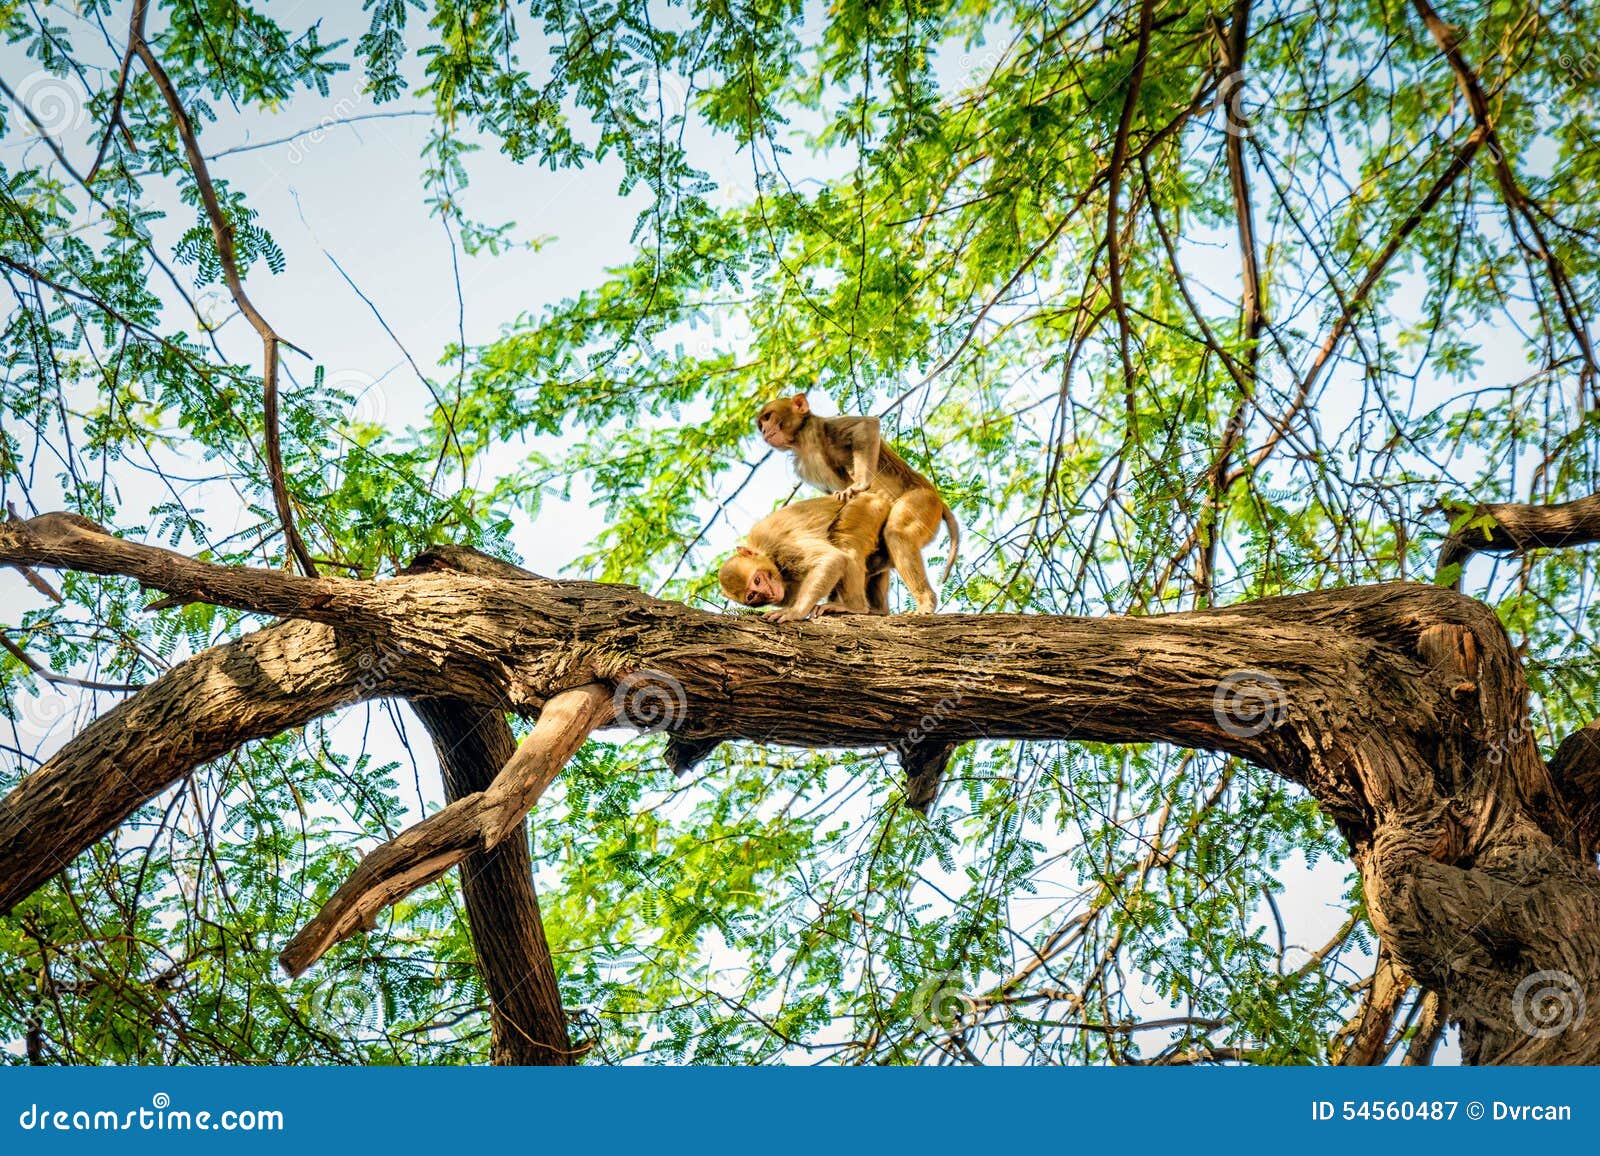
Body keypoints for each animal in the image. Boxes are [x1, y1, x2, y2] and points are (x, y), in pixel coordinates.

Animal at [718, 492, 893, 622]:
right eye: (751, 596)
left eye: (757, 580)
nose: (770, 594)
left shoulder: (782, 546)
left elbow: (832, 558)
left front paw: (795, 612)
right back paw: (879, 610)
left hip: (867, 506)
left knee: (846, 545)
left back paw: (855, 607)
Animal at [755, 393, 958, 613]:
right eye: (761, 424)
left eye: (768, 417)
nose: (764, 430)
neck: (804, 440)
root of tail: (938, 499)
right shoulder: (805, 466)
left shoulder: (827, 426)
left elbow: (866, 425)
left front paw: (860, 483)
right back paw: (878, 610)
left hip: (925, 503)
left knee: (897, 533)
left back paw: (924, 601)